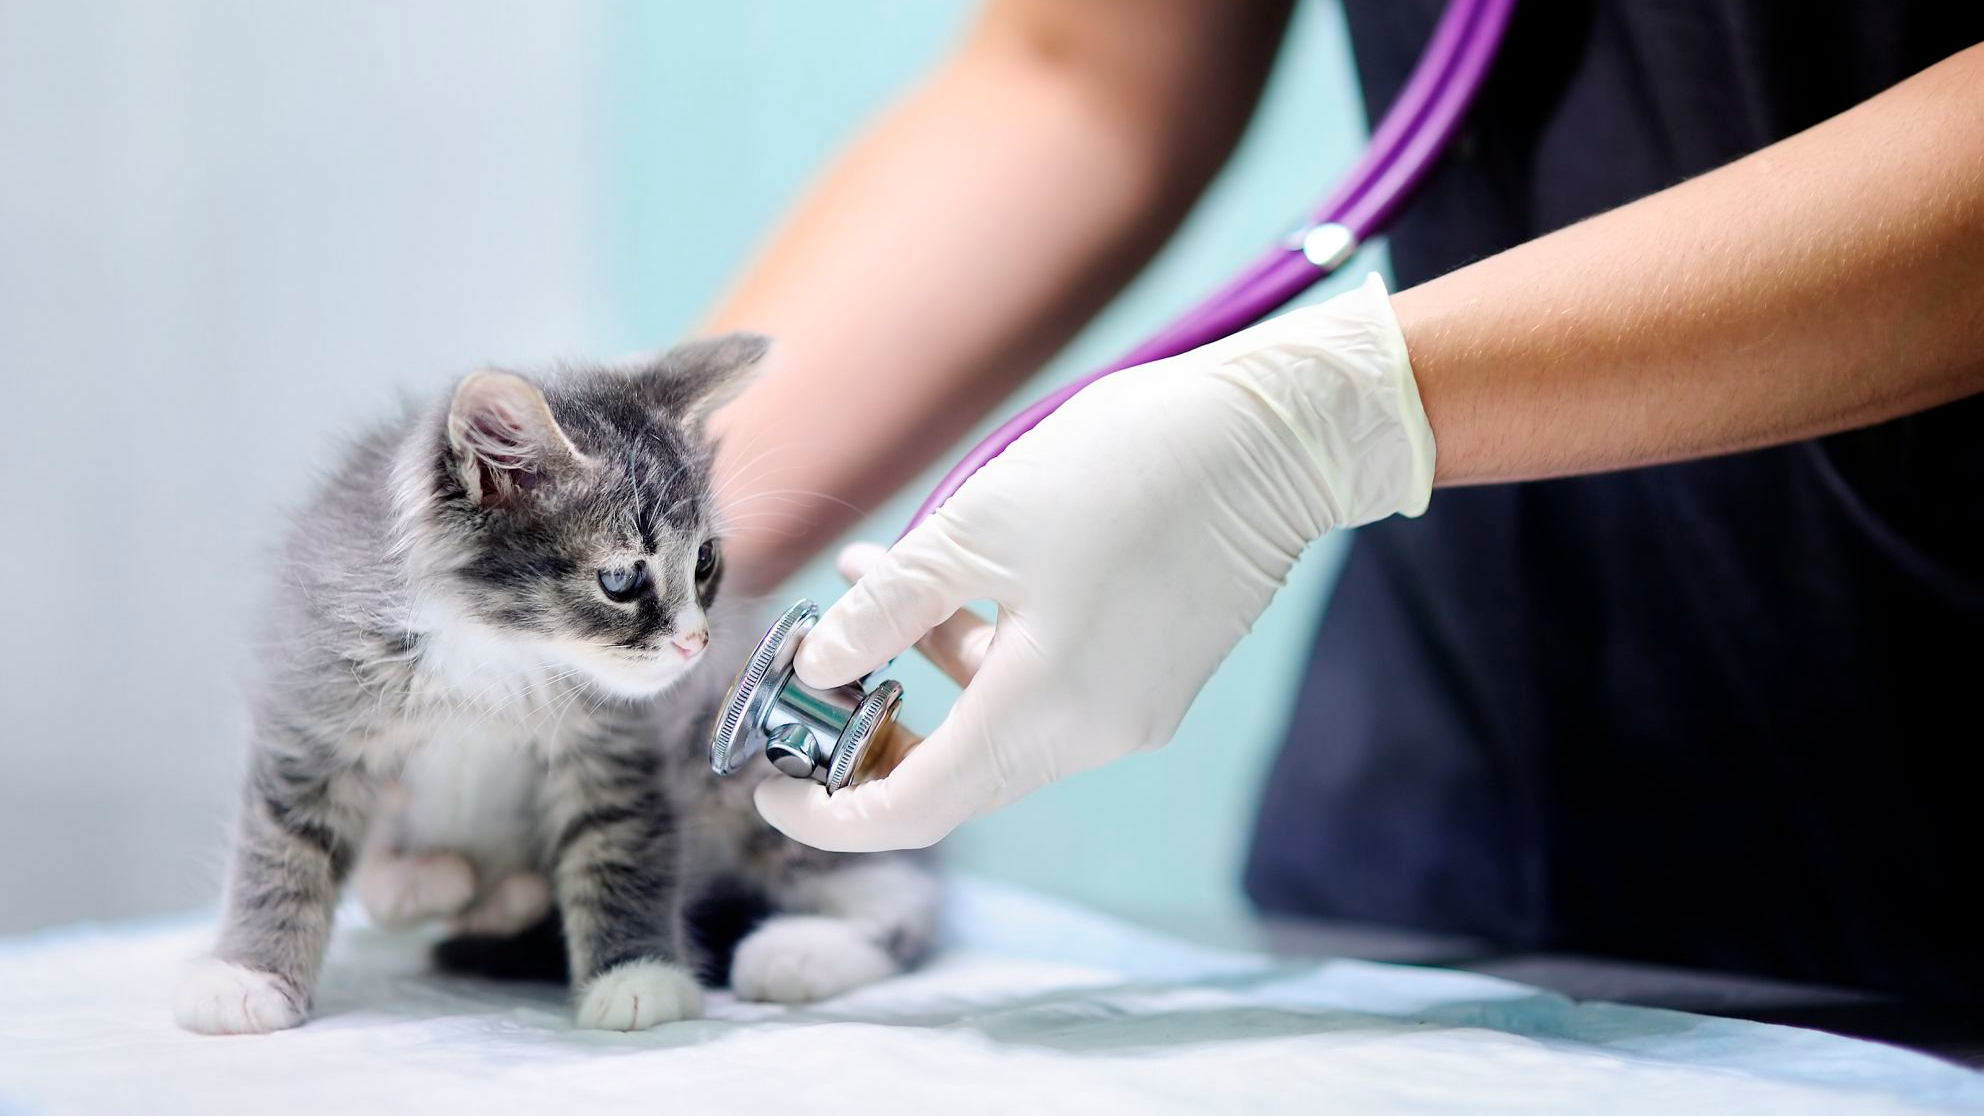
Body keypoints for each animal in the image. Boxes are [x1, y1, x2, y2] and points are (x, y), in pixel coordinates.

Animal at [176, 333, 936, 1032]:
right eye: (622, 580)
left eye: (706, 562)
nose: (697, 644)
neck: (495, 651)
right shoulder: (313, 712)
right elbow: (280, 848)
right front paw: (245, 975)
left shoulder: (619, 747)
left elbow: (624, 848)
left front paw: (638, 975)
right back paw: (437, 884)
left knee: (899, 895)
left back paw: (797, 952)